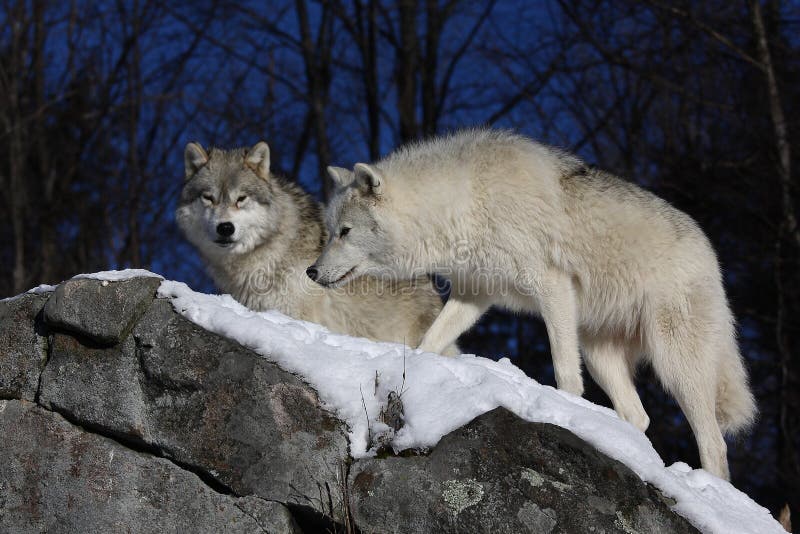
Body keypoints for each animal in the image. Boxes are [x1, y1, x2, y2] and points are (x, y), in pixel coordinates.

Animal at [308, 128, 755, 479]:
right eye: (330, 231)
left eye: (345, 232)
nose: (311, 272)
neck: (464, 202)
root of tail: (709, 252)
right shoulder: (473, 295)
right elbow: (429, 342)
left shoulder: (552, 288)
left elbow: (565, 375)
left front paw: (565, 412)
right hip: (599, 353)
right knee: (640, 416)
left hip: (674, 364)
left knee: (714, 444)